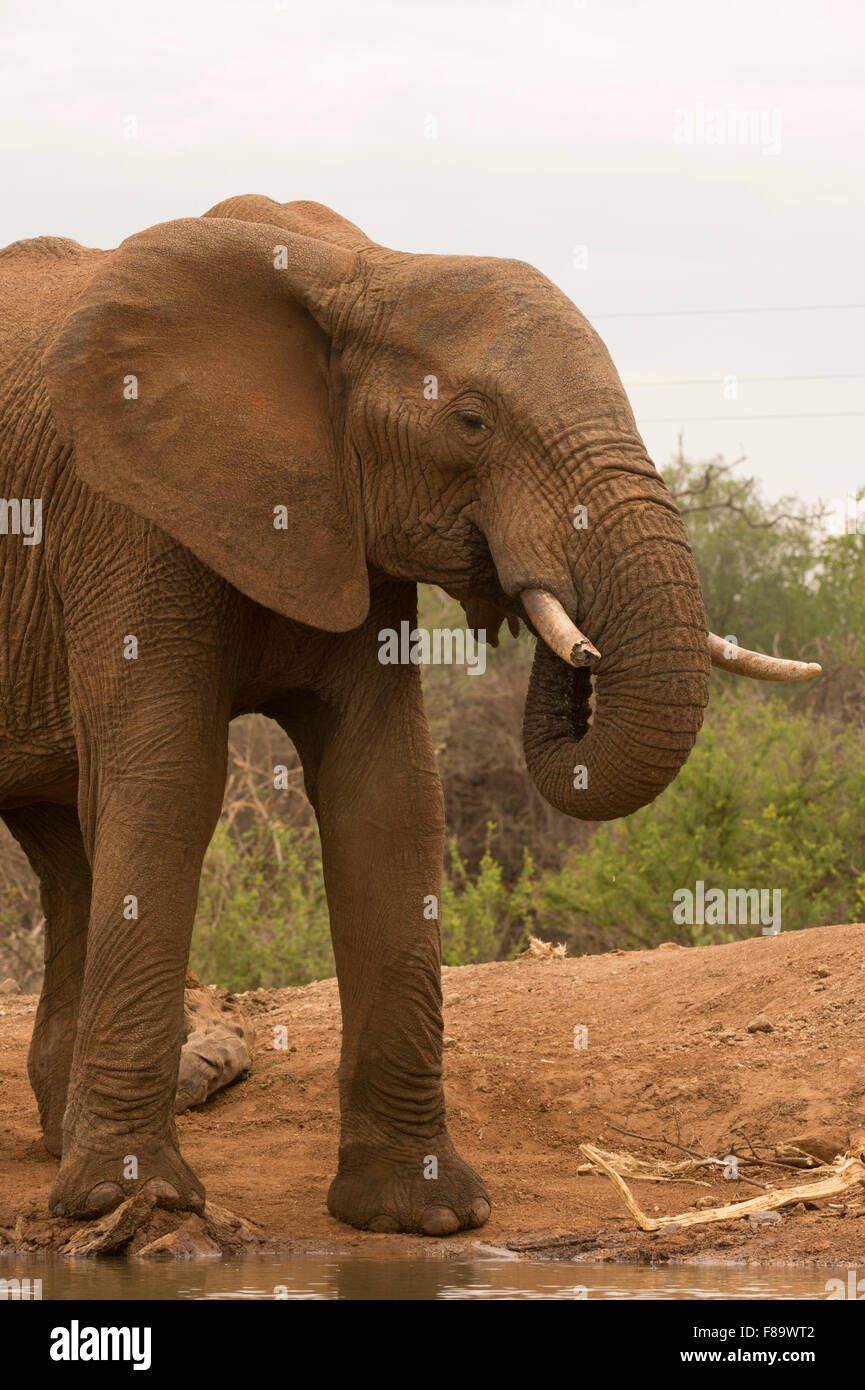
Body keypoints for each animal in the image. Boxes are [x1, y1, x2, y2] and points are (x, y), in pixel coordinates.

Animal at [0, 194, 819, 1234]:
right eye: (469, 421)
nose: (565, 641)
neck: (362, 266)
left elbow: (388, 792)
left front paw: (425, 1216)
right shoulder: (125, 516)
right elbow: (167, 780)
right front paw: (132, 1200)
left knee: (64, 852)